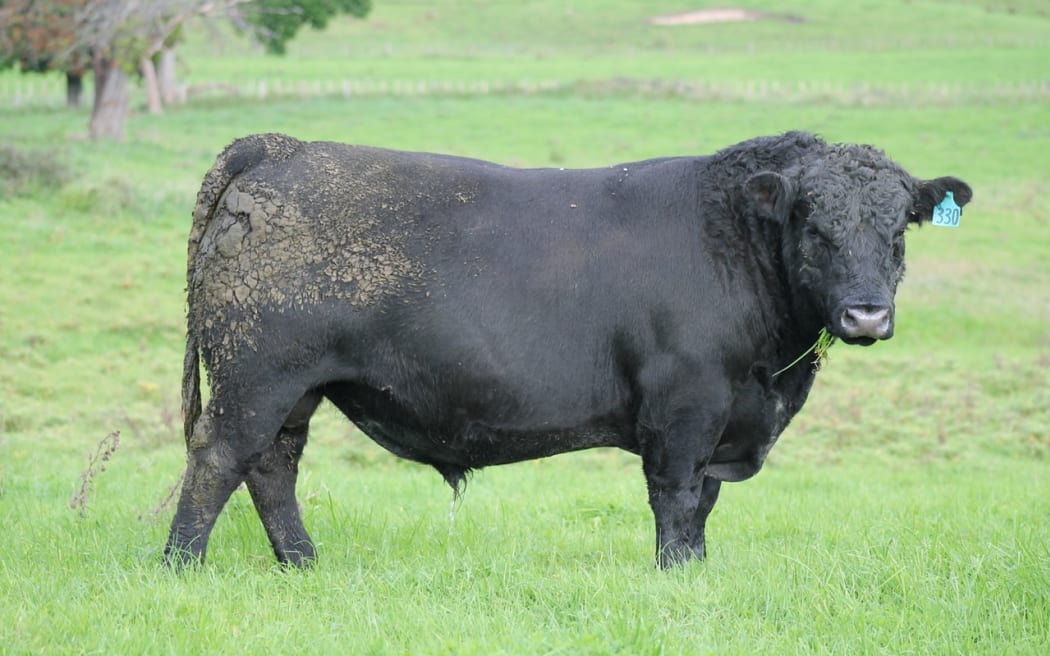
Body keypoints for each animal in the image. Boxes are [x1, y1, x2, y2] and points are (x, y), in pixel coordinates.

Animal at [164, 131, 971, 568]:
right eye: (812, 224)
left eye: (898, 229)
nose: (866, 314)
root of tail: (285, 149)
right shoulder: (686, 405)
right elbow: (677, 498)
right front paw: (676, 576)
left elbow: (704, 503)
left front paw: (699, 570)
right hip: (258, 375)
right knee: (218, 460)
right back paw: (182, 567)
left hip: (294, 390)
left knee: (272, 467)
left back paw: (303, 566)